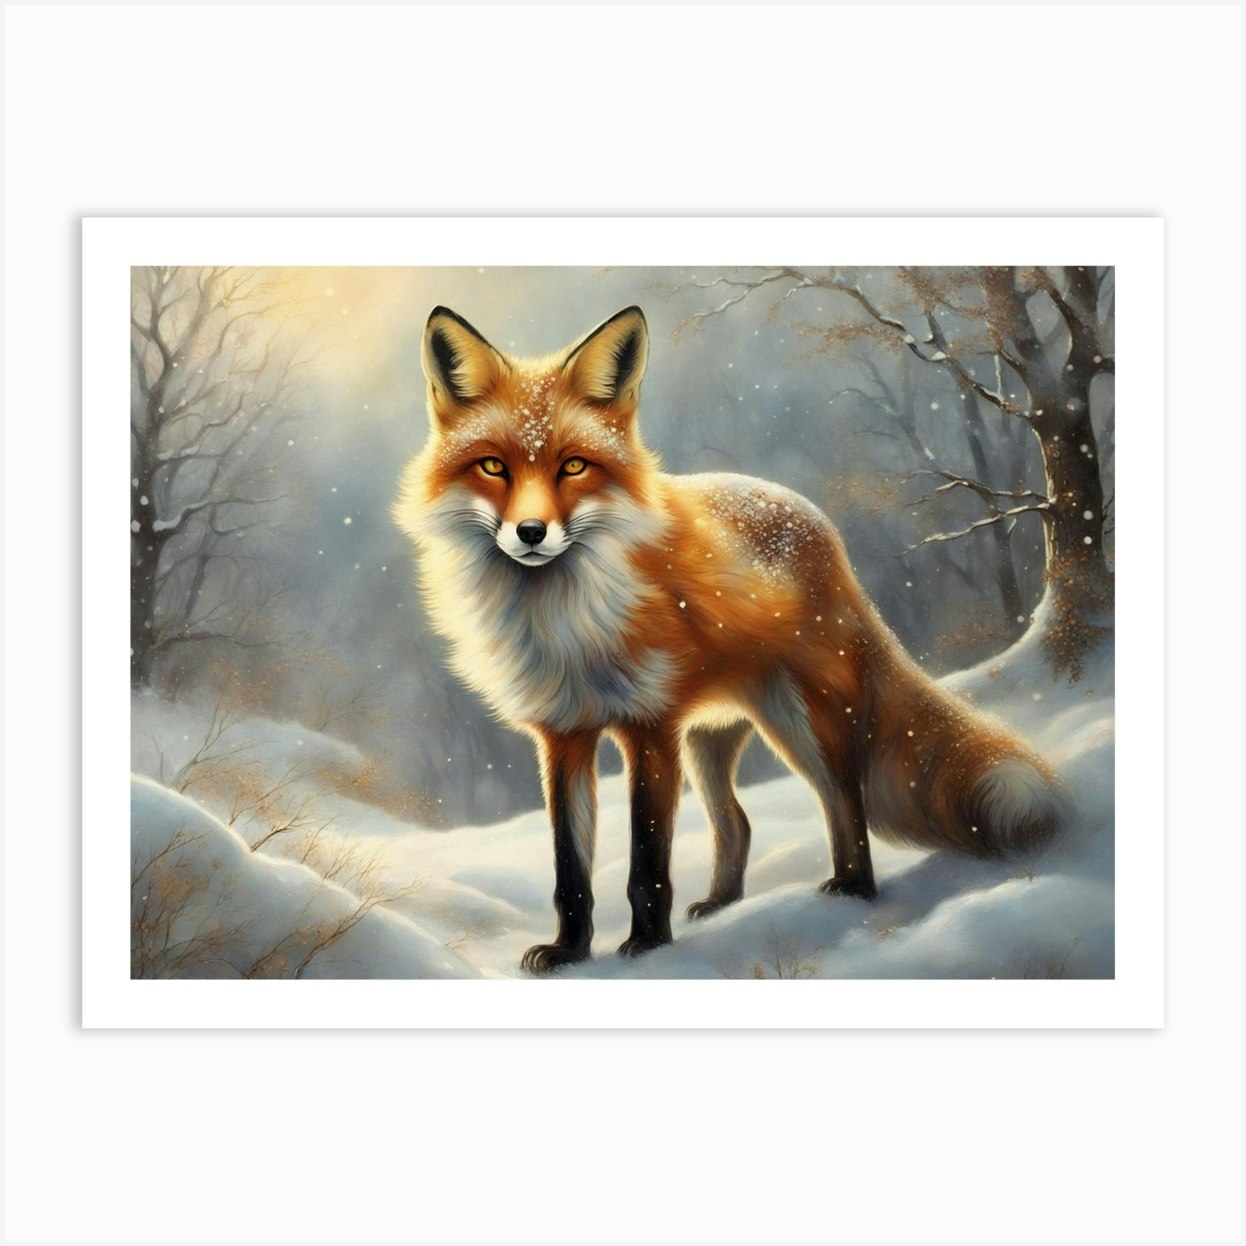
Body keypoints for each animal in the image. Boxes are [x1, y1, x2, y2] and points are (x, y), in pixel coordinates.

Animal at [394, 304, 1064, 974]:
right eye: (493, 466)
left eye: (574, 466)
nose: (531, 532)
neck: (563, 620)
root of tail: (821, 528)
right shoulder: (563, 736)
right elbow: (570, 871)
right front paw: (570, 951)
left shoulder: (650, 728)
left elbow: (647, 864)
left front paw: (646, 947)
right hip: (711, 739)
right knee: (738, 823)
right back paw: (722, 901)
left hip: (802, 718)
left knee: (844, 800)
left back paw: (853, 890)